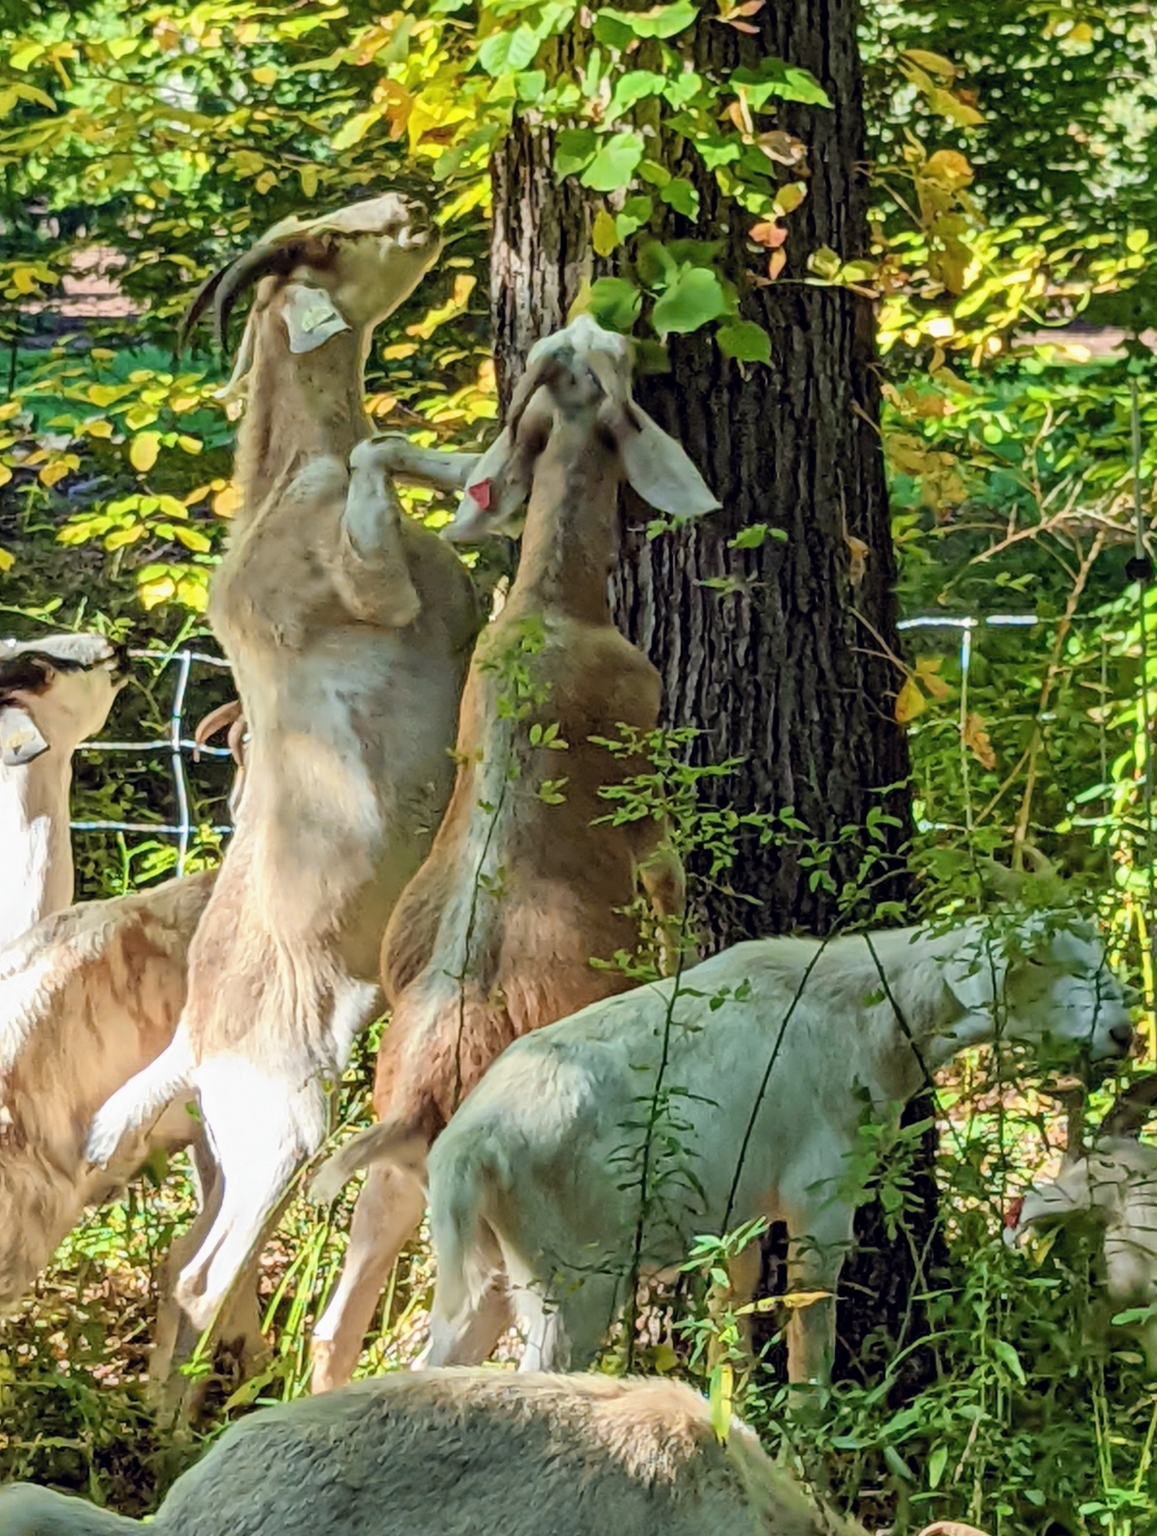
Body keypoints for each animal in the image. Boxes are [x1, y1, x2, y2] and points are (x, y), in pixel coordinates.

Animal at [85, 196, 482, 1363]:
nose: (412, 209)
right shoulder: (377, 591)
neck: (278, 496)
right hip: (284, 1120)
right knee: (204, 1276)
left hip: (231, 1137)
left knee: (182, 1265)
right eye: (324, 243)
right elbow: (380, 466)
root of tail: (194, 1037)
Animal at [307, 315, 718, 1390]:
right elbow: (672, 888)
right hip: (504, 1233)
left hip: (400, 1185)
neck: (550, 605)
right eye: (608, 365)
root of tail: (422, 1101)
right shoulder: (647, 790)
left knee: (337, 1327)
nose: (611, 320)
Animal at [422, 915, 1134, 1386]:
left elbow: (730, 1326)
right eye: (1054, 962)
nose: (1126, 1032)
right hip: (572, 1285)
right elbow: (809, 1343)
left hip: (490, 1276)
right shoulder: (821, 1199)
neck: (867, 1017)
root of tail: (468, 1145)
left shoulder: (739, 1216)